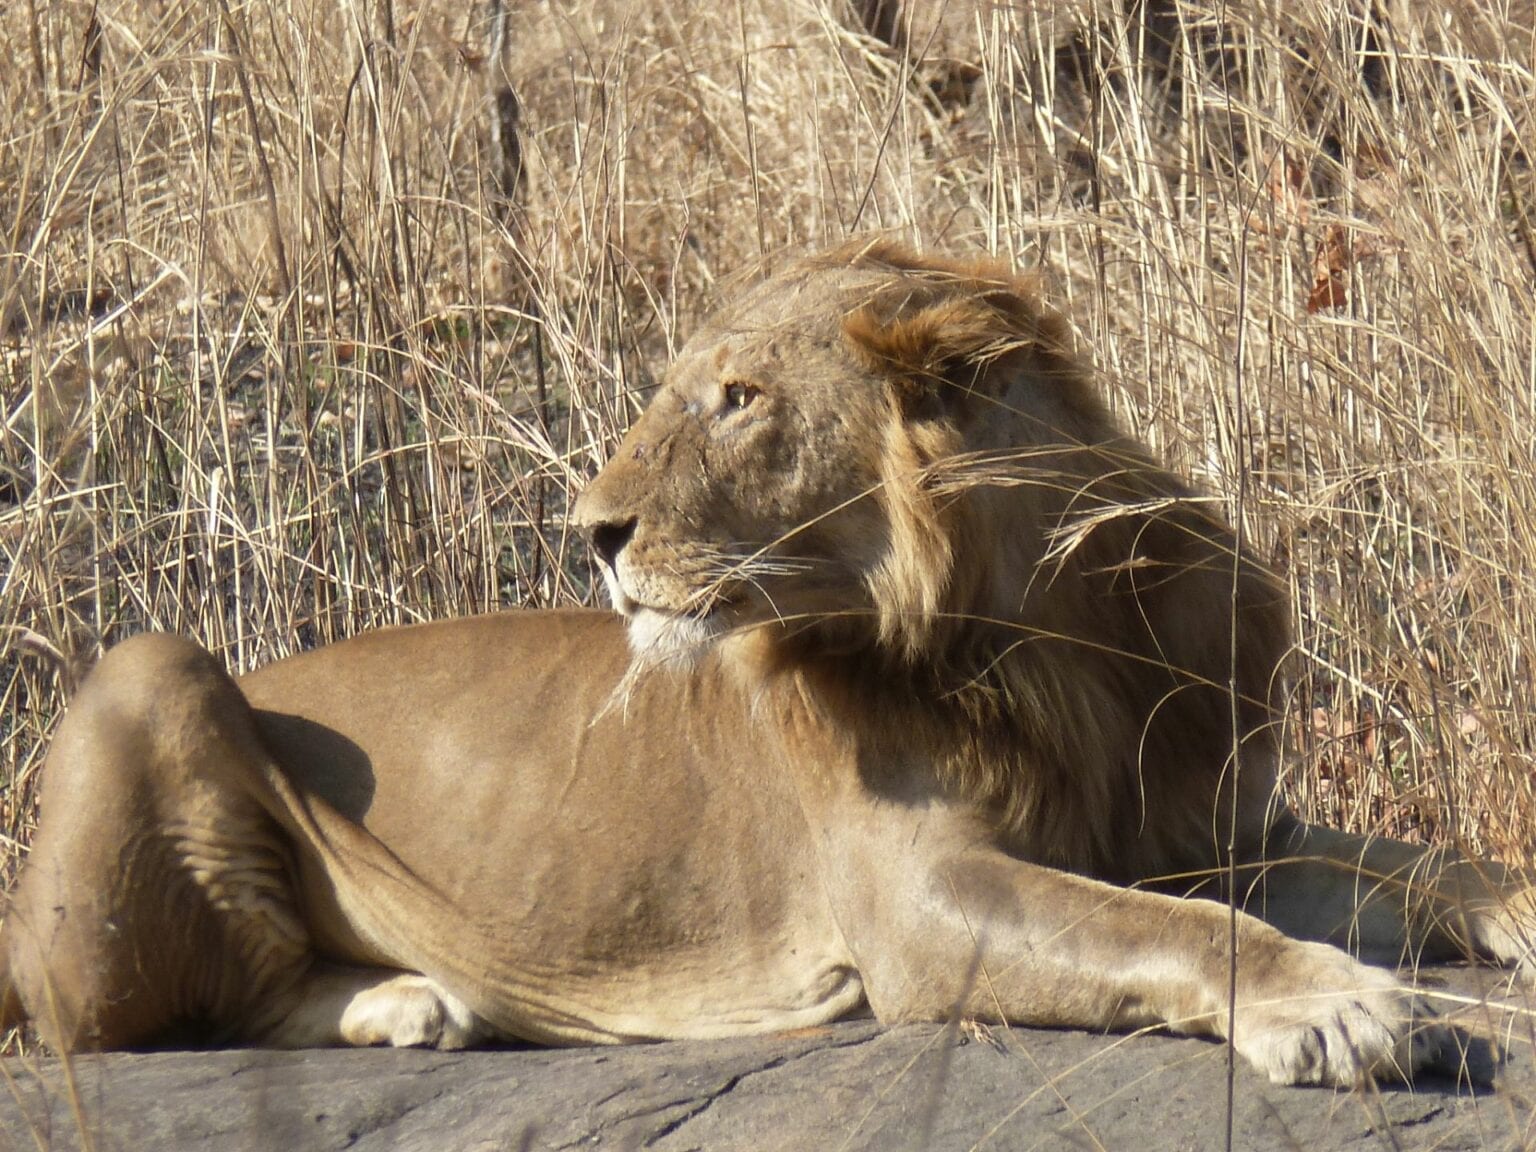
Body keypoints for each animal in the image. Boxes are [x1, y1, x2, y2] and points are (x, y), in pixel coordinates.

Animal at [3, 240, 1532, 1087]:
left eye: (738, 399)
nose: (591, 532)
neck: (1053, 635)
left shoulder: (1200, 824)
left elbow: (1391, 859)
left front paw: (1506, 902)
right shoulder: (918, 905)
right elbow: (1172, 929)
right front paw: (1332, 1005)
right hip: (150, 667)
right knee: (159, 1021)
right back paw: (412, 996)